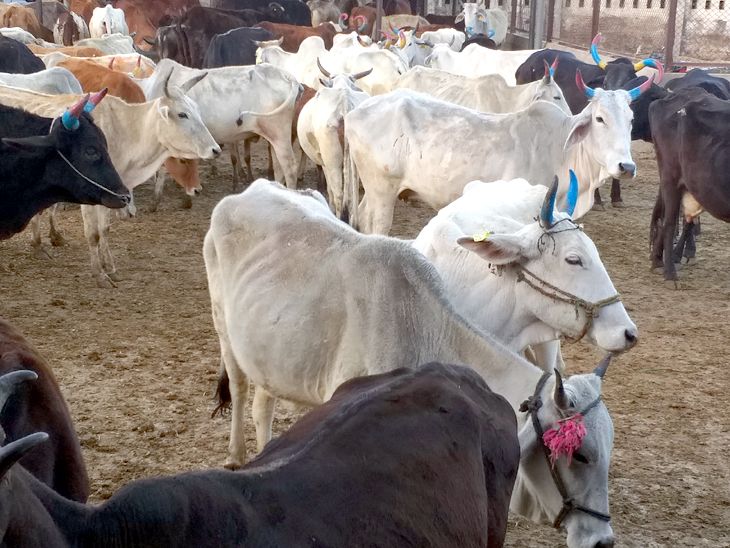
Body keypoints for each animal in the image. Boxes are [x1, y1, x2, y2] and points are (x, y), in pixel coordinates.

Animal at [297, 65, 371, 216]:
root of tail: (345, 102)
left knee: (338, 194)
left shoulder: (324, 161)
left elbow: (330, 189)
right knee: (353, 196)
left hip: (332, 160)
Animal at [345, 75, 654, 234]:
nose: (626, 166)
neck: (562, 149)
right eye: (600, 118)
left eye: (630, 119)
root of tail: (354, 111)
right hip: (383, 190)